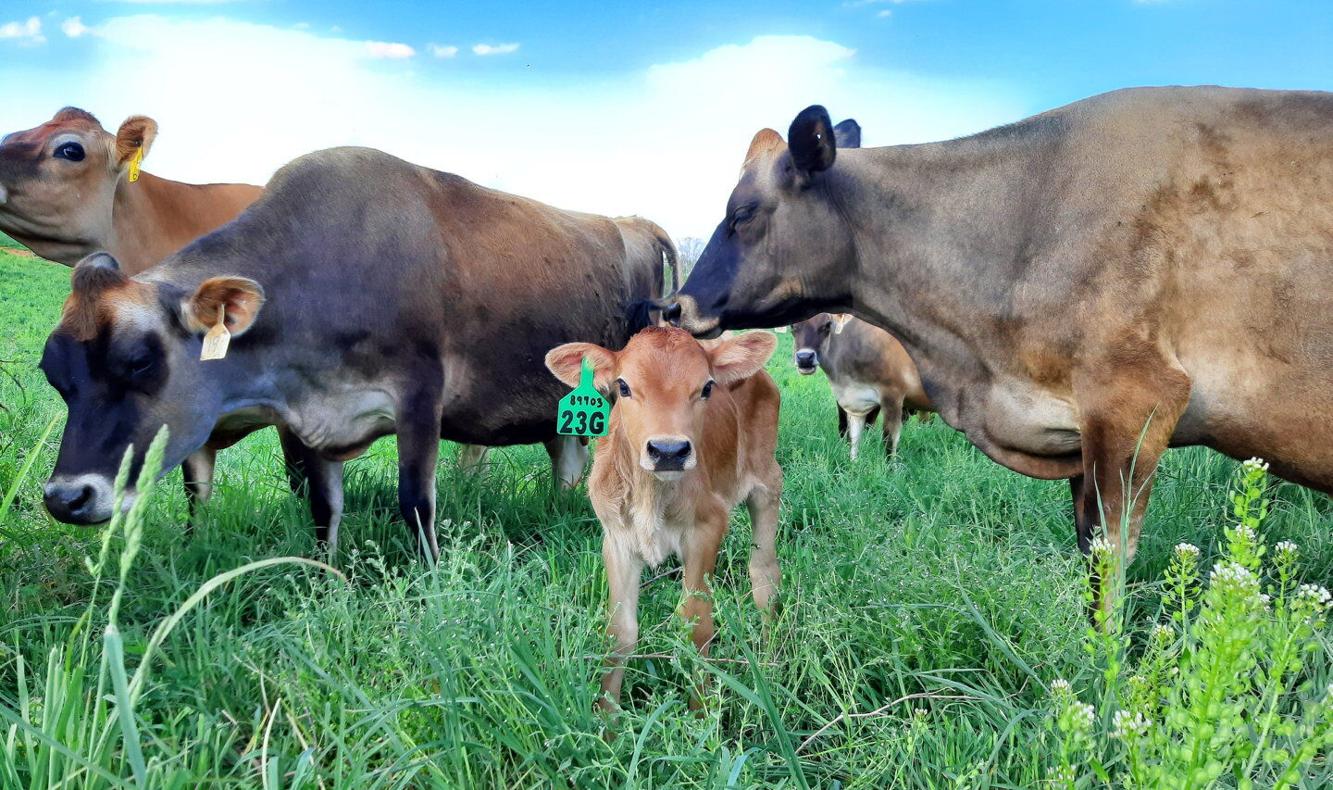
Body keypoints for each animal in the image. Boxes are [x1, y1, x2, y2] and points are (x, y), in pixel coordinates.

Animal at [38, 146, 678, 559]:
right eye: (54, 377)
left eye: (140, 360)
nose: (66, 498)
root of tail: (633, 220)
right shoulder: (308, 416)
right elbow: (322, 506)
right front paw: (327, 579)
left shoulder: (420, 395)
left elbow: (415, 501)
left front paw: (430, 579)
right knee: (566, 460)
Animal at [545, 327, 782, 711]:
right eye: (623, 386)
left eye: (707, 387)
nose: (668, 451)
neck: (650, 497)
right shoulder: (617, 539)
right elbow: (619, 632)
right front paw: (607, 718)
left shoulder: (707, 527)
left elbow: (695, 623)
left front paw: (701, 714)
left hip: (768, 482)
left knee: (764, 573)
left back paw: (769, 662)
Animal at [791, 313, 933, 460]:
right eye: (792, 326)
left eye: (827, 325)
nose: (804, 358)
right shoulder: (854, 400)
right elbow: (852, 435)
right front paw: (852, 461)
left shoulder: (893, 396)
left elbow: (888, 439)